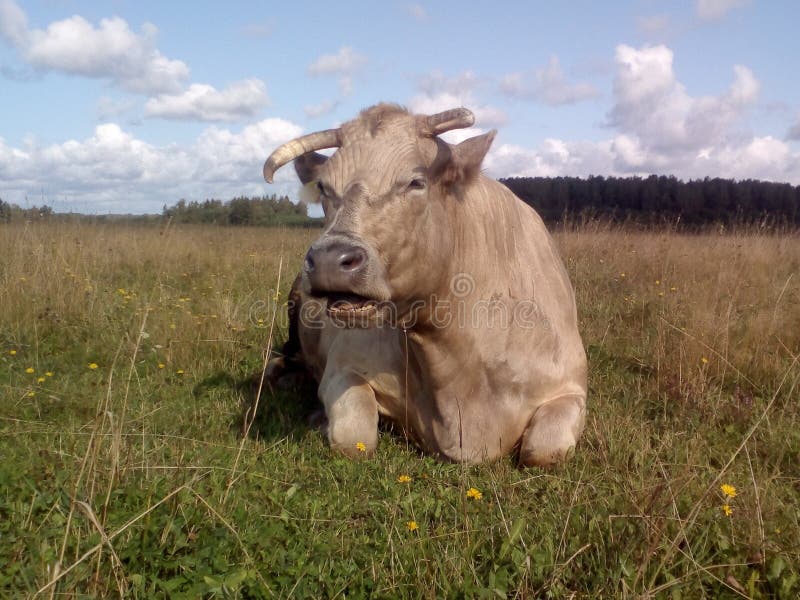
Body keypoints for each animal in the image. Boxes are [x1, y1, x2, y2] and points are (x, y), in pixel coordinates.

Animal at [263, 104, 587, 466]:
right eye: (323, 188)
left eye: (417, 182)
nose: (331, 260)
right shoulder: (344, 363)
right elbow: (354, 436)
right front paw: (320, 418)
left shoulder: (570, 387)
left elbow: (542, 450)